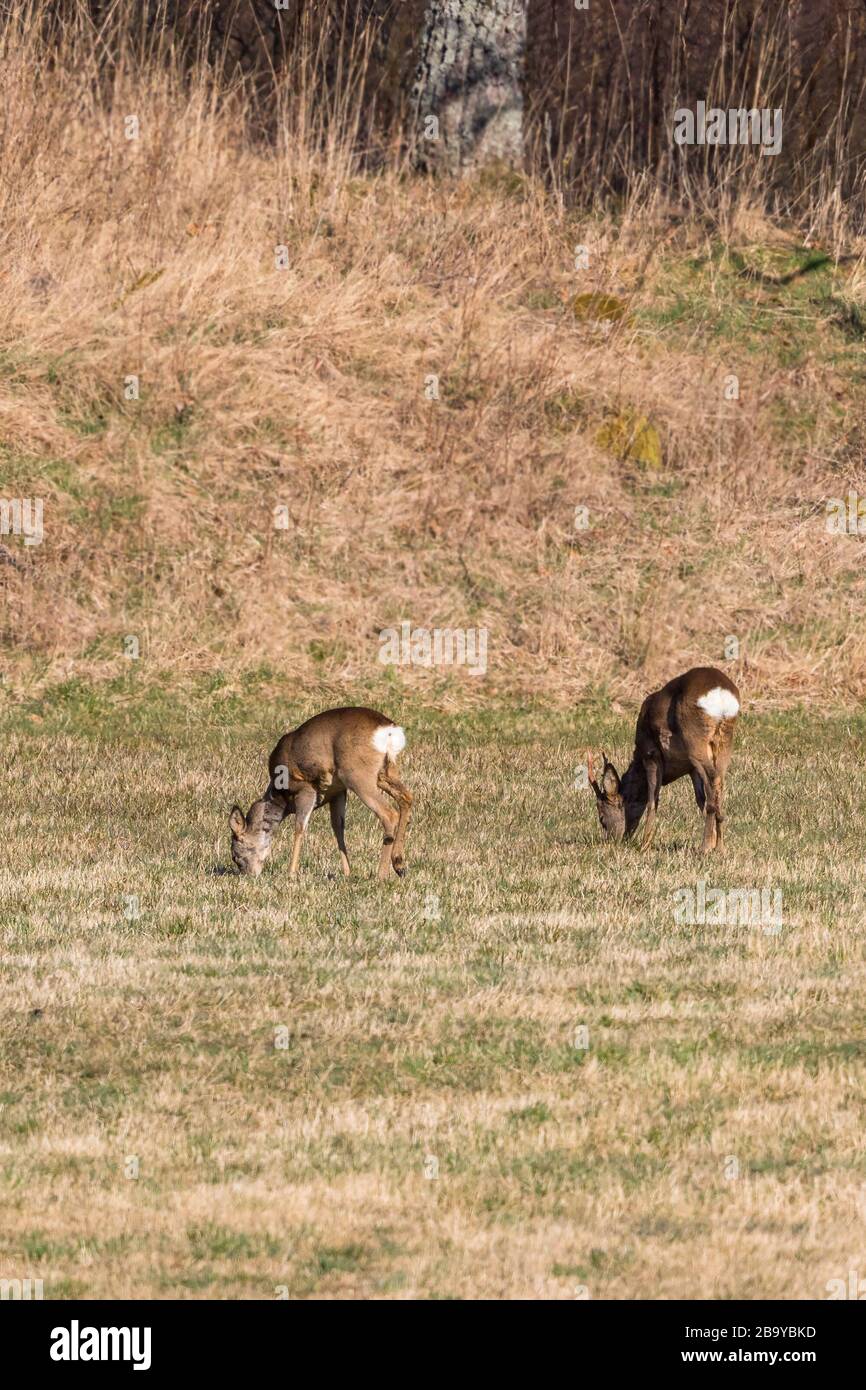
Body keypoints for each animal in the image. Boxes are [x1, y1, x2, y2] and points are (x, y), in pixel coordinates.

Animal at [228, 707, 412, 880]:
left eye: (235, 856)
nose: (249, 875)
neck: (282, 796)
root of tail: (389, 730)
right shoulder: (338, 792)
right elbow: (338, 827)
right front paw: (347, 872)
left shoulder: (305, 787)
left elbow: (300, 827)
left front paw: (291, 873)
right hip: (385, 773)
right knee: (407, 798)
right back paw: (399, 865)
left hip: (357, 775)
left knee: (389, 814)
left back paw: (382, 874)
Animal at [587, 667, 740, 853]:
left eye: (602, 818)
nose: (612, 841)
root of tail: (720, 694)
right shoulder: (691, 769)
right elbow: (699, 800)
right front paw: (713, 842)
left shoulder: (651, 752)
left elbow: (653, 799)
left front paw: (644, 845)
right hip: (725, 739)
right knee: (719, 785)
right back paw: (720, 847)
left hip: (695, 738)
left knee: (713, 782)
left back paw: (704, 848)